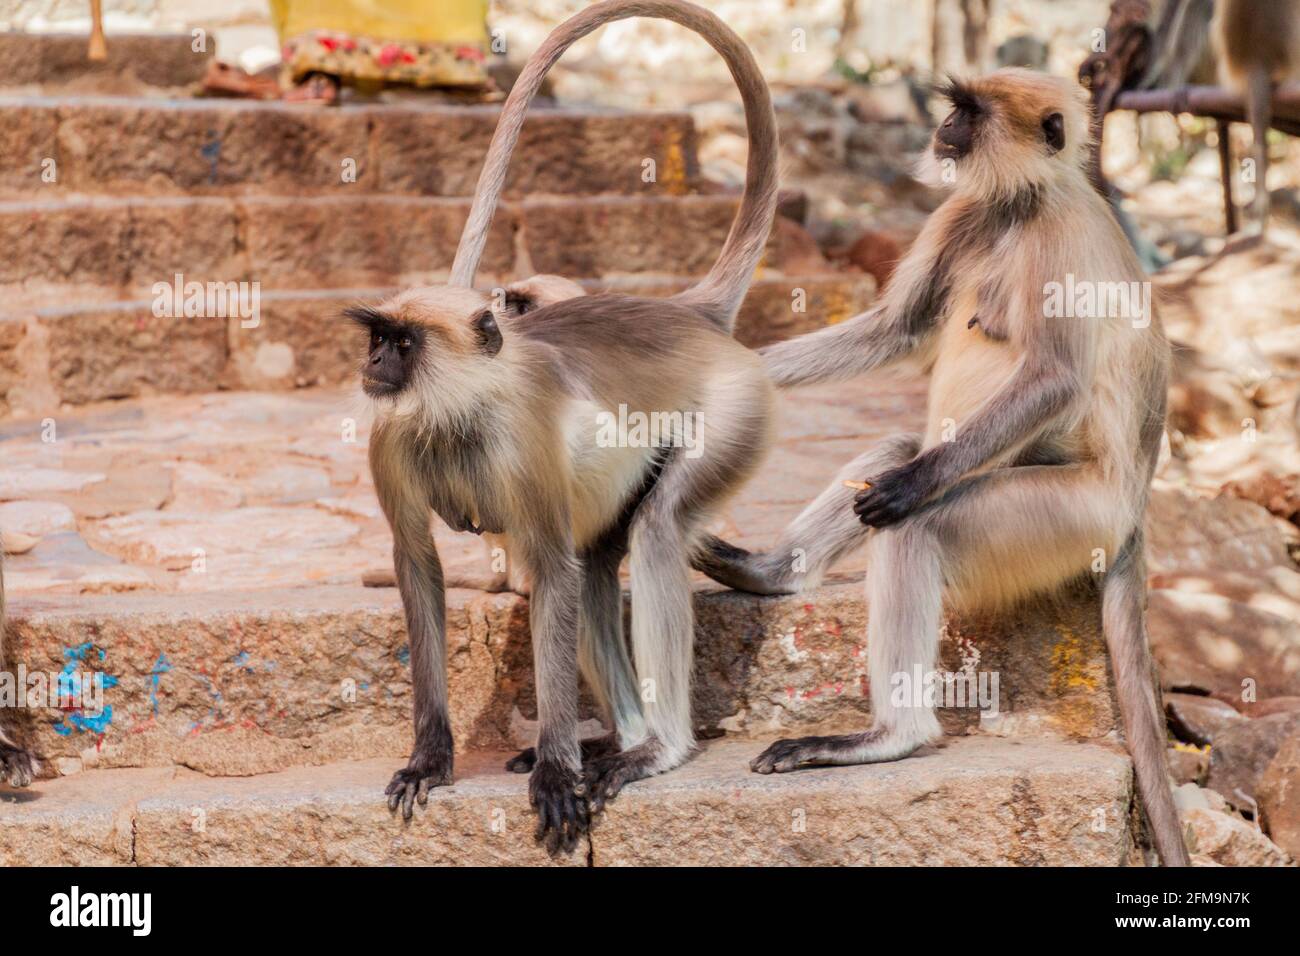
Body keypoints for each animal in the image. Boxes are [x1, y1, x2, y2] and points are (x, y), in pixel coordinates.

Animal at [353, 0, 778, 855]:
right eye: (380, 337)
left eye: (403, 342)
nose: (375, 362)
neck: (462, 411)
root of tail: (688, 315)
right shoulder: (393, 441)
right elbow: (419, 567)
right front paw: (431, 758)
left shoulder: (521, 444)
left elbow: (549, 571)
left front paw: (554, 773)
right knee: (596, 568)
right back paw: (621, 738)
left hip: (735, 408)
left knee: (649, 534)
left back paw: (657, 749)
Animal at [692, 69, 1190, 866]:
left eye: (969, 113)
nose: (943, 129)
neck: (1019, 204)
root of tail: (1135, 512)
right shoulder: (966, 211)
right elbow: (892, 331)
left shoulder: (1060, 235)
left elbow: (1054, 380)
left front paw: (907, 489)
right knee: (899, 447)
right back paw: (768, 574)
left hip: (1069, 514)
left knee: (912, 526)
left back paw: (889, 735)